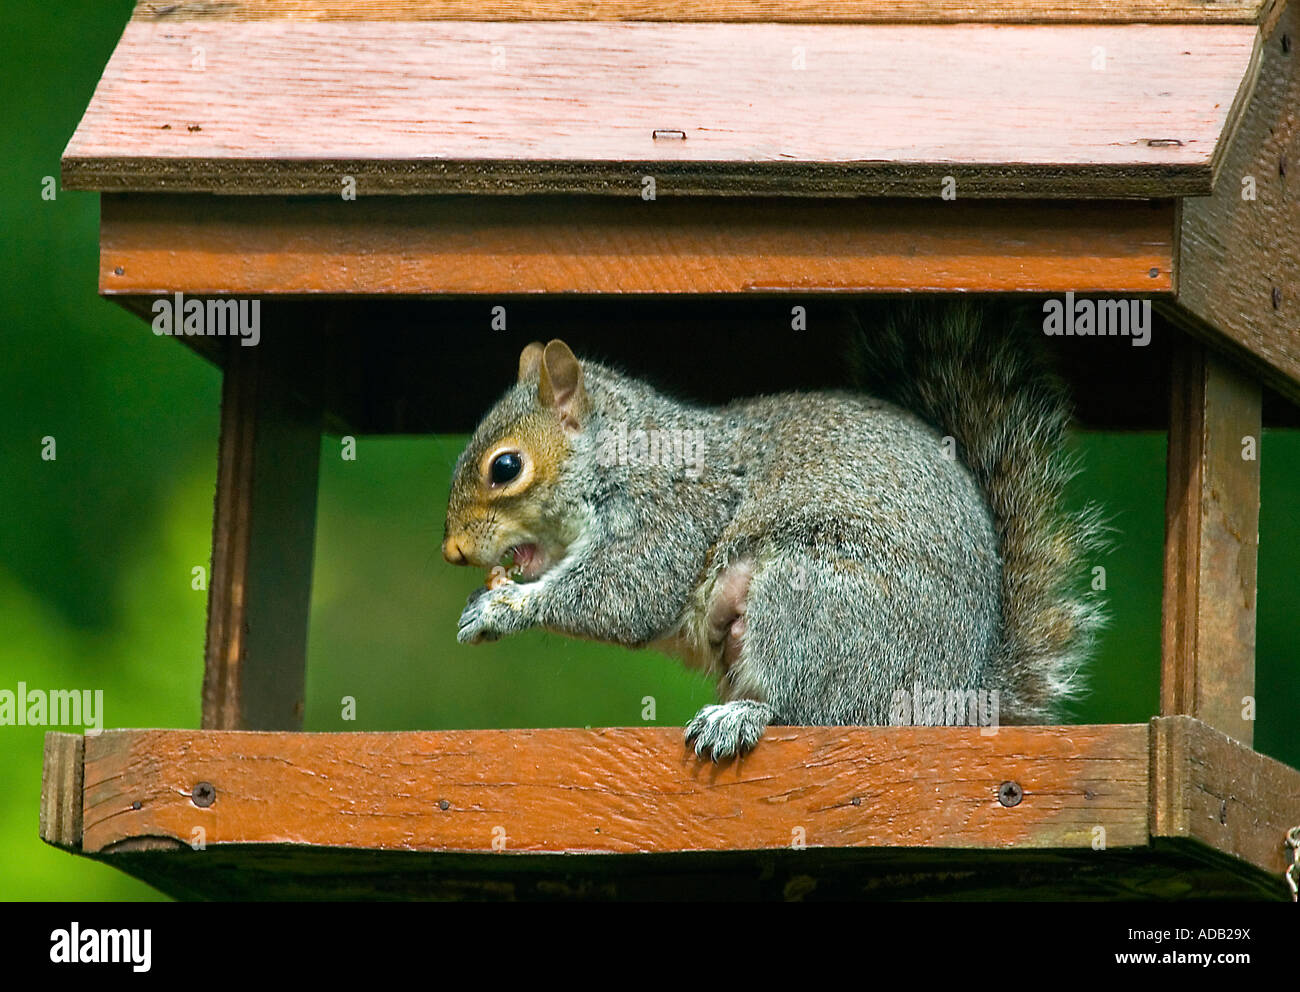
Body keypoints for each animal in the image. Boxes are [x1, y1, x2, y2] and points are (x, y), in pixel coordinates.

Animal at [442, 301, 1105, 761]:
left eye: (506, 467)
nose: (452, 550)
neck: (622, 455)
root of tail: (959, 694)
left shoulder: (672, 512)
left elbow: (625, 596)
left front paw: (505, 607)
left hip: (812, 601)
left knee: (813, 711)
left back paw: (740, 717)